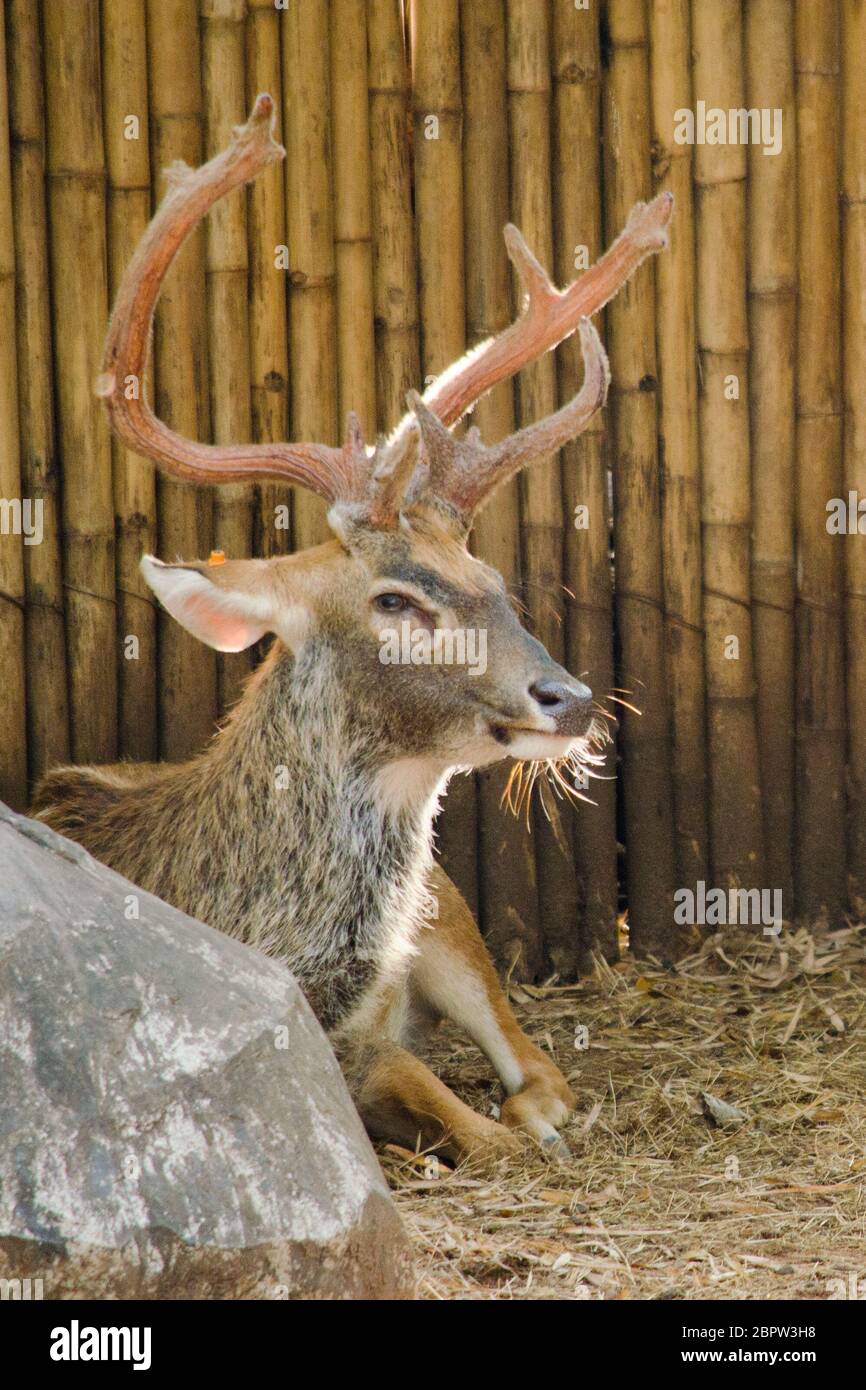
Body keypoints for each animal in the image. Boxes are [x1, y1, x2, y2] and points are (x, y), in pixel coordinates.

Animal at [33, 96, 672, 1166]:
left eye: (494, 581)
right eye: (394, 601)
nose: (573, 698)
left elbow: (465, 1099)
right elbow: (428, 1097)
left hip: (449, 915)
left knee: (537, 1066)